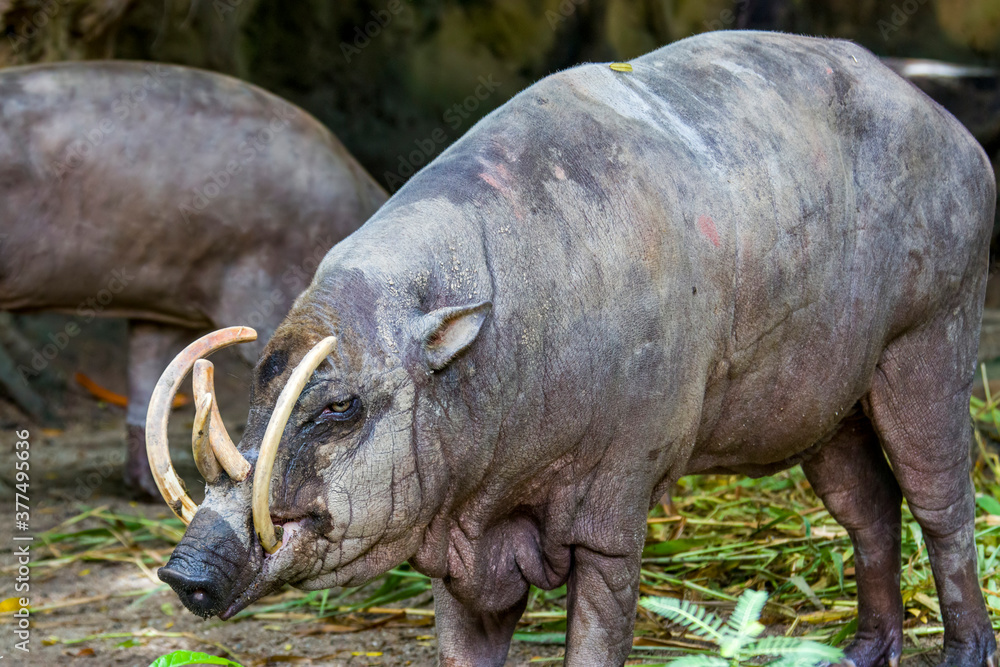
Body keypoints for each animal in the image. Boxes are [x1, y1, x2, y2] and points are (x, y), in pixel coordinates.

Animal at [147, 31, 997, 667]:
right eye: (262, 378)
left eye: (341, 406)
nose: (185, 570)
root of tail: (960, 136)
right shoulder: (458, 539)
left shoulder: (616, 499)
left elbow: (598, 630)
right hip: (826, 404)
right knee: (869, 505)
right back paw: (863, 650)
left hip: (931, 334)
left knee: (940, 499)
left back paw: (965, 649)